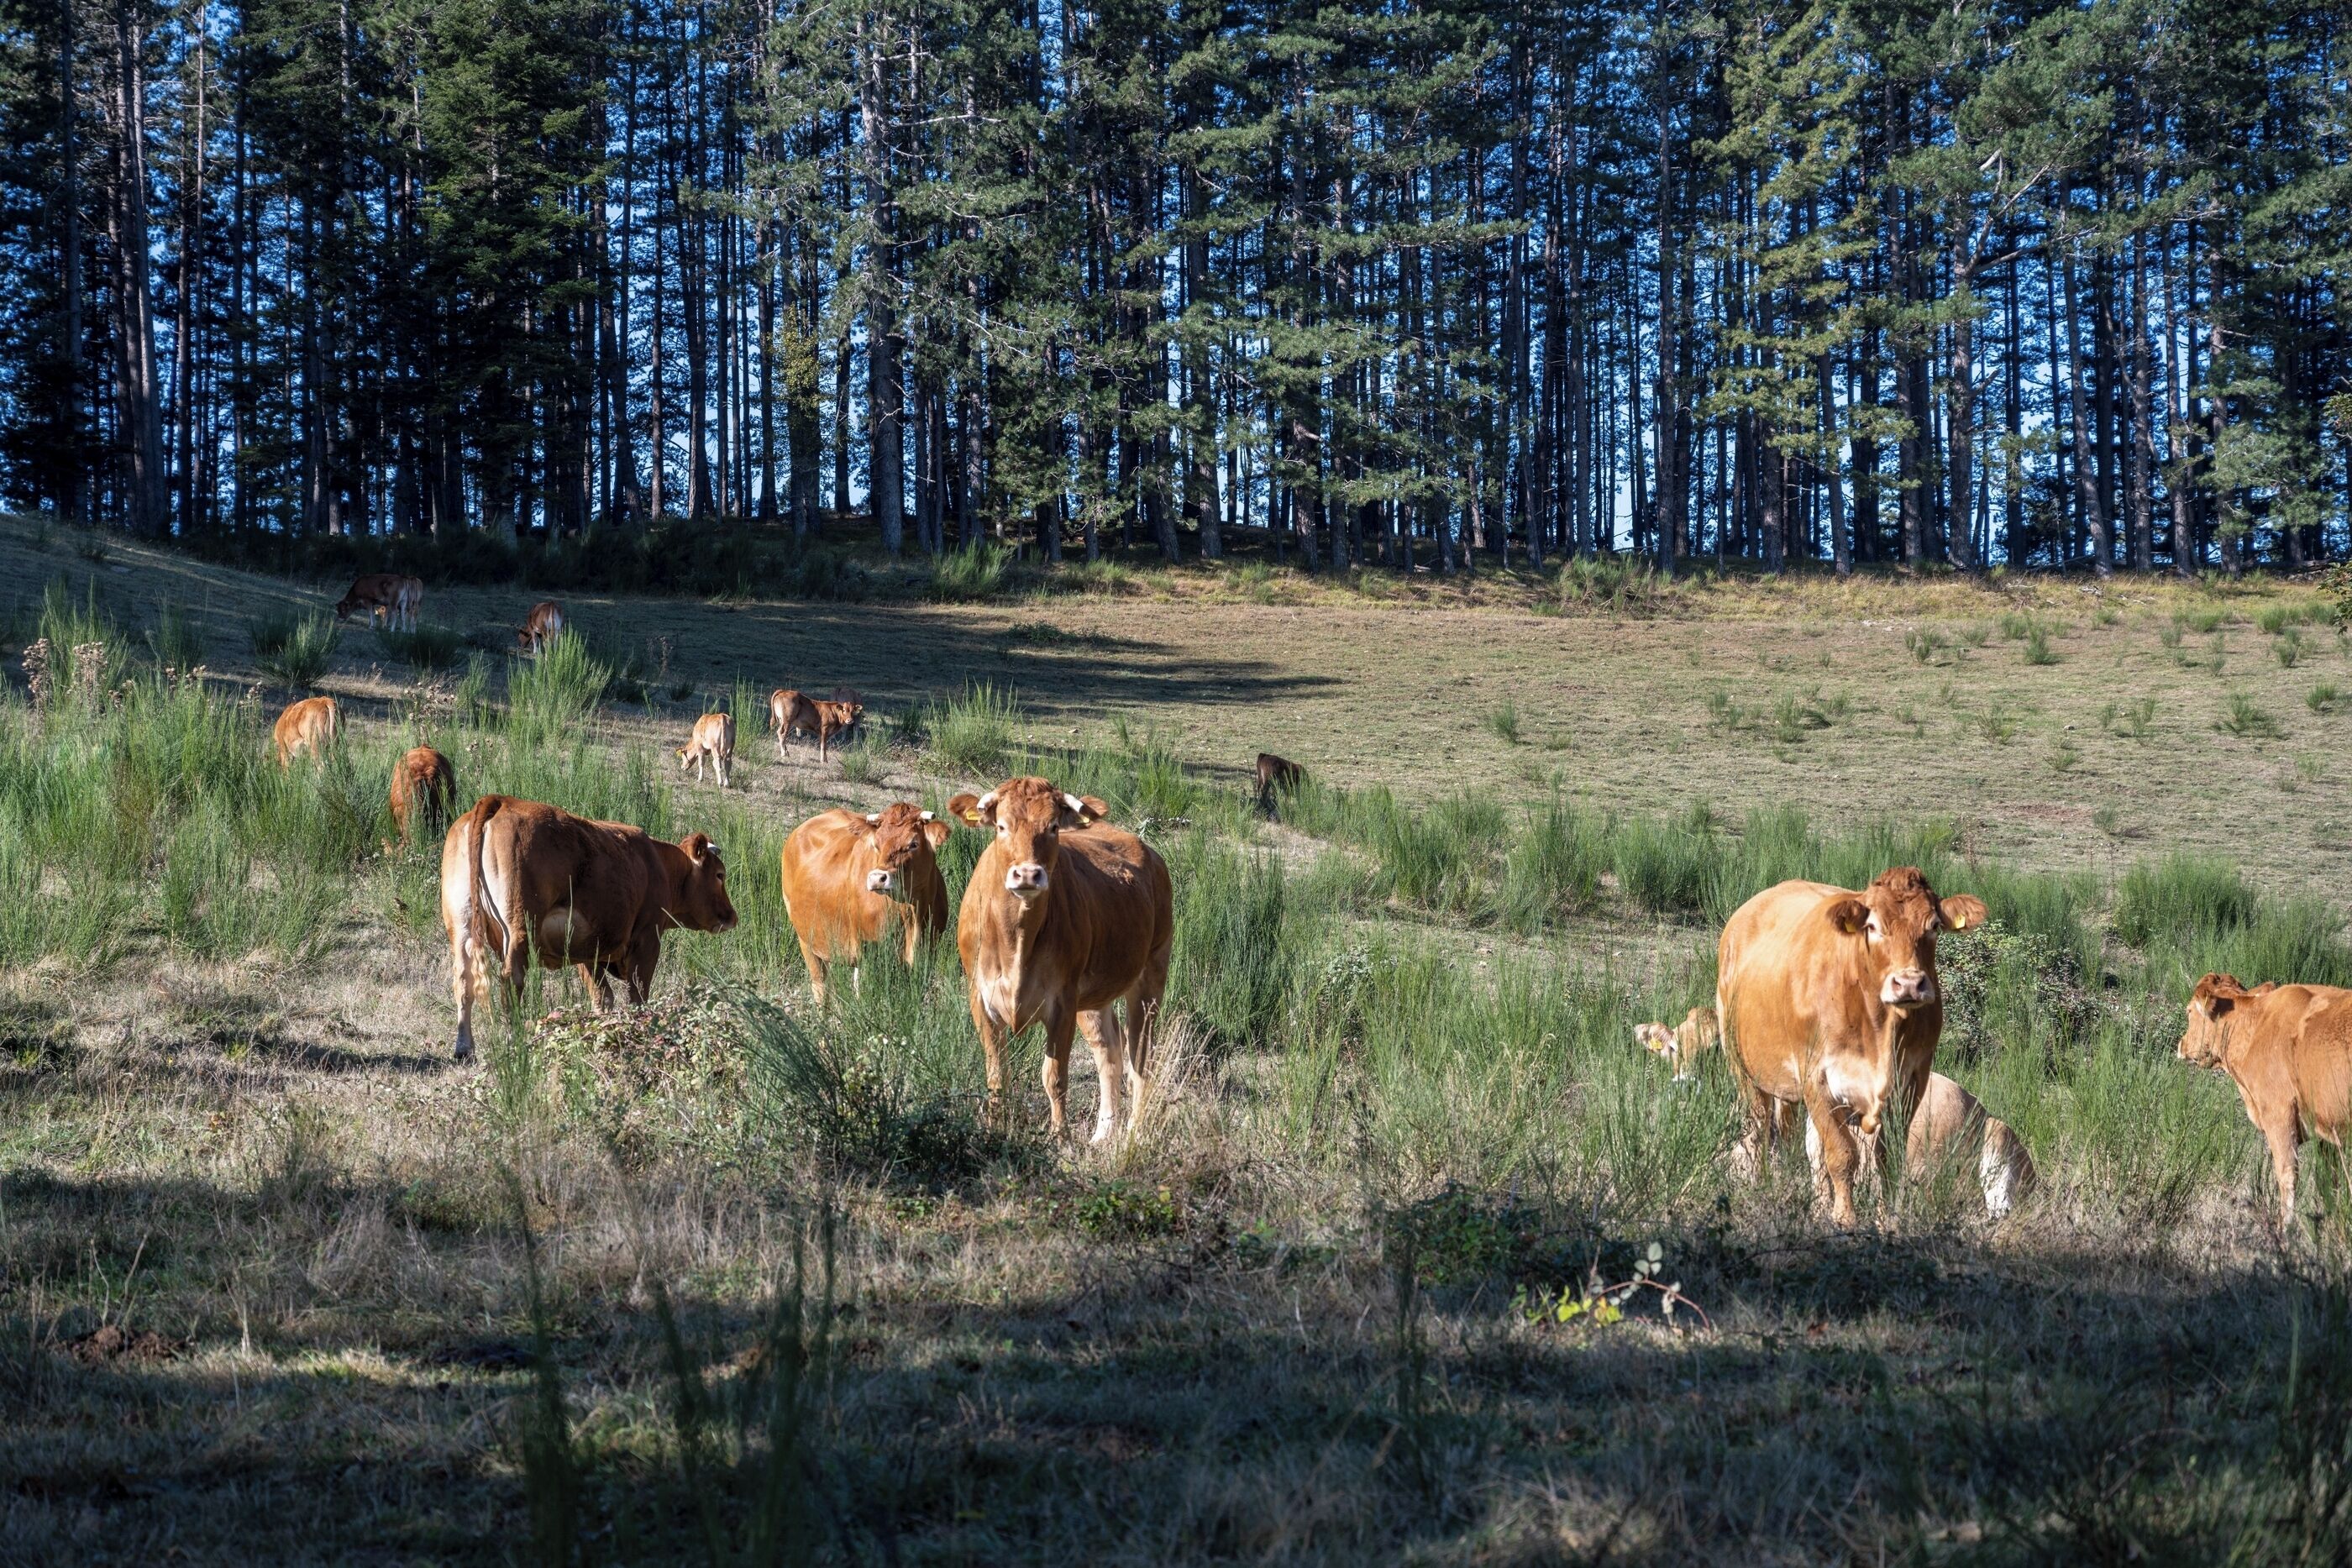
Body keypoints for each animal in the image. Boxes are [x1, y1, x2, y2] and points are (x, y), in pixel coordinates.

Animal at [438, 795, 737, 1063]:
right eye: (719, 875)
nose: (732, 917)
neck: (657, 864)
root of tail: (502, 801)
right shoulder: (647, 940)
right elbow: (638, 996)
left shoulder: (586, 949)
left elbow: (603, 997)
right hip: (520, 928)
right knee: (511, 981)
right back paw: (515, 1042)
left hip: (461, 924)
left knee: (463, 980)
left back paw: (464, 1048)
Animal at [779, 802, 952, 1004]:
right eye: (876, 845)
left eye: (913, 844)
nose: (877, 878)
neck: (912, 914)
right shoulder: (869, 951)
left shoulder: (929, 951)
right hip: (806, 939)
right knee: (821, 987)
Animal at [948, 777, 1175, 1142]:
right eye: (1001, 826)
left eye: (1053, 827)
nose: (1027, 874)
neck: (1016, 941)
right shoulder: (980, 998)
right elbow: (997, 1075)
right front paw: (995, 1130)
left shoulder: (1063, 1002)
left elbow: (1054, 1077)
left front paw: (1061, 1138)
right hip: (1094, 997)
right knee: (1109, 1050)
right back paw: (1103, 1133)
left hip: (1152, 971)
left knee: (1140, 1054)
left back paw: (1135, 1133)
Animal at [1716, 867, 1987, 1226]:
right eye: (1872, 927)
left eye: (1933, 926)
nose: (1909, 984)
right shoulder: (1817, 1079)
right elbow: (1842, 1155)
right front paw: (1845, 1218)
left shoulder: (1913, 1080)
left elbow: (1889, 1159)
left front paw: (1887, 1220)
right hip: (1742, 1066)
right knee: (1758, 1128)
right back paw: (1760, 1187)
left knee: (1786, 1132)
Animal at [2178, 973, 2352, 1224]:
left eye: (2189, 1011)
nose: (2180, 1044)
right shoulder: (2327, 1132)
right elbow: (2330, 1184)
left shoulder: (2278, 1115)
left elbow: (2287, 1177)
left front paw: (2285, 1229)